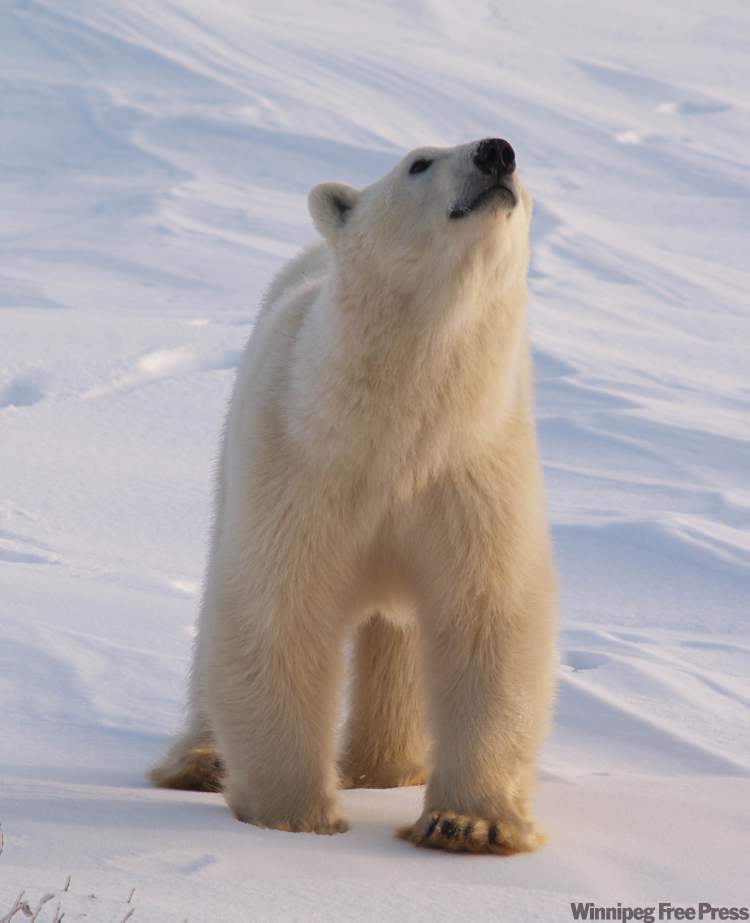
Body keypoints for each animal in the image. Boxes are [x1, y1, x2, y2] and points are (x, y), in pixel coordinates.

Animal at [150, 137, 557, 855]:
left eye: (518, 159)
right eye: (419, 163)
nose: (496, 153)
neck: (397, 428)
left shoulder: (474, 469)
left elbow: (487, 616)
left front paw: (467, 823)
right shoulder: (301, 464)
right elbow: (277, 608)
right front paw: (295, 814)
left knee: (398, 642)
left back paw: (387, 766)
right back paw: (201, 760)